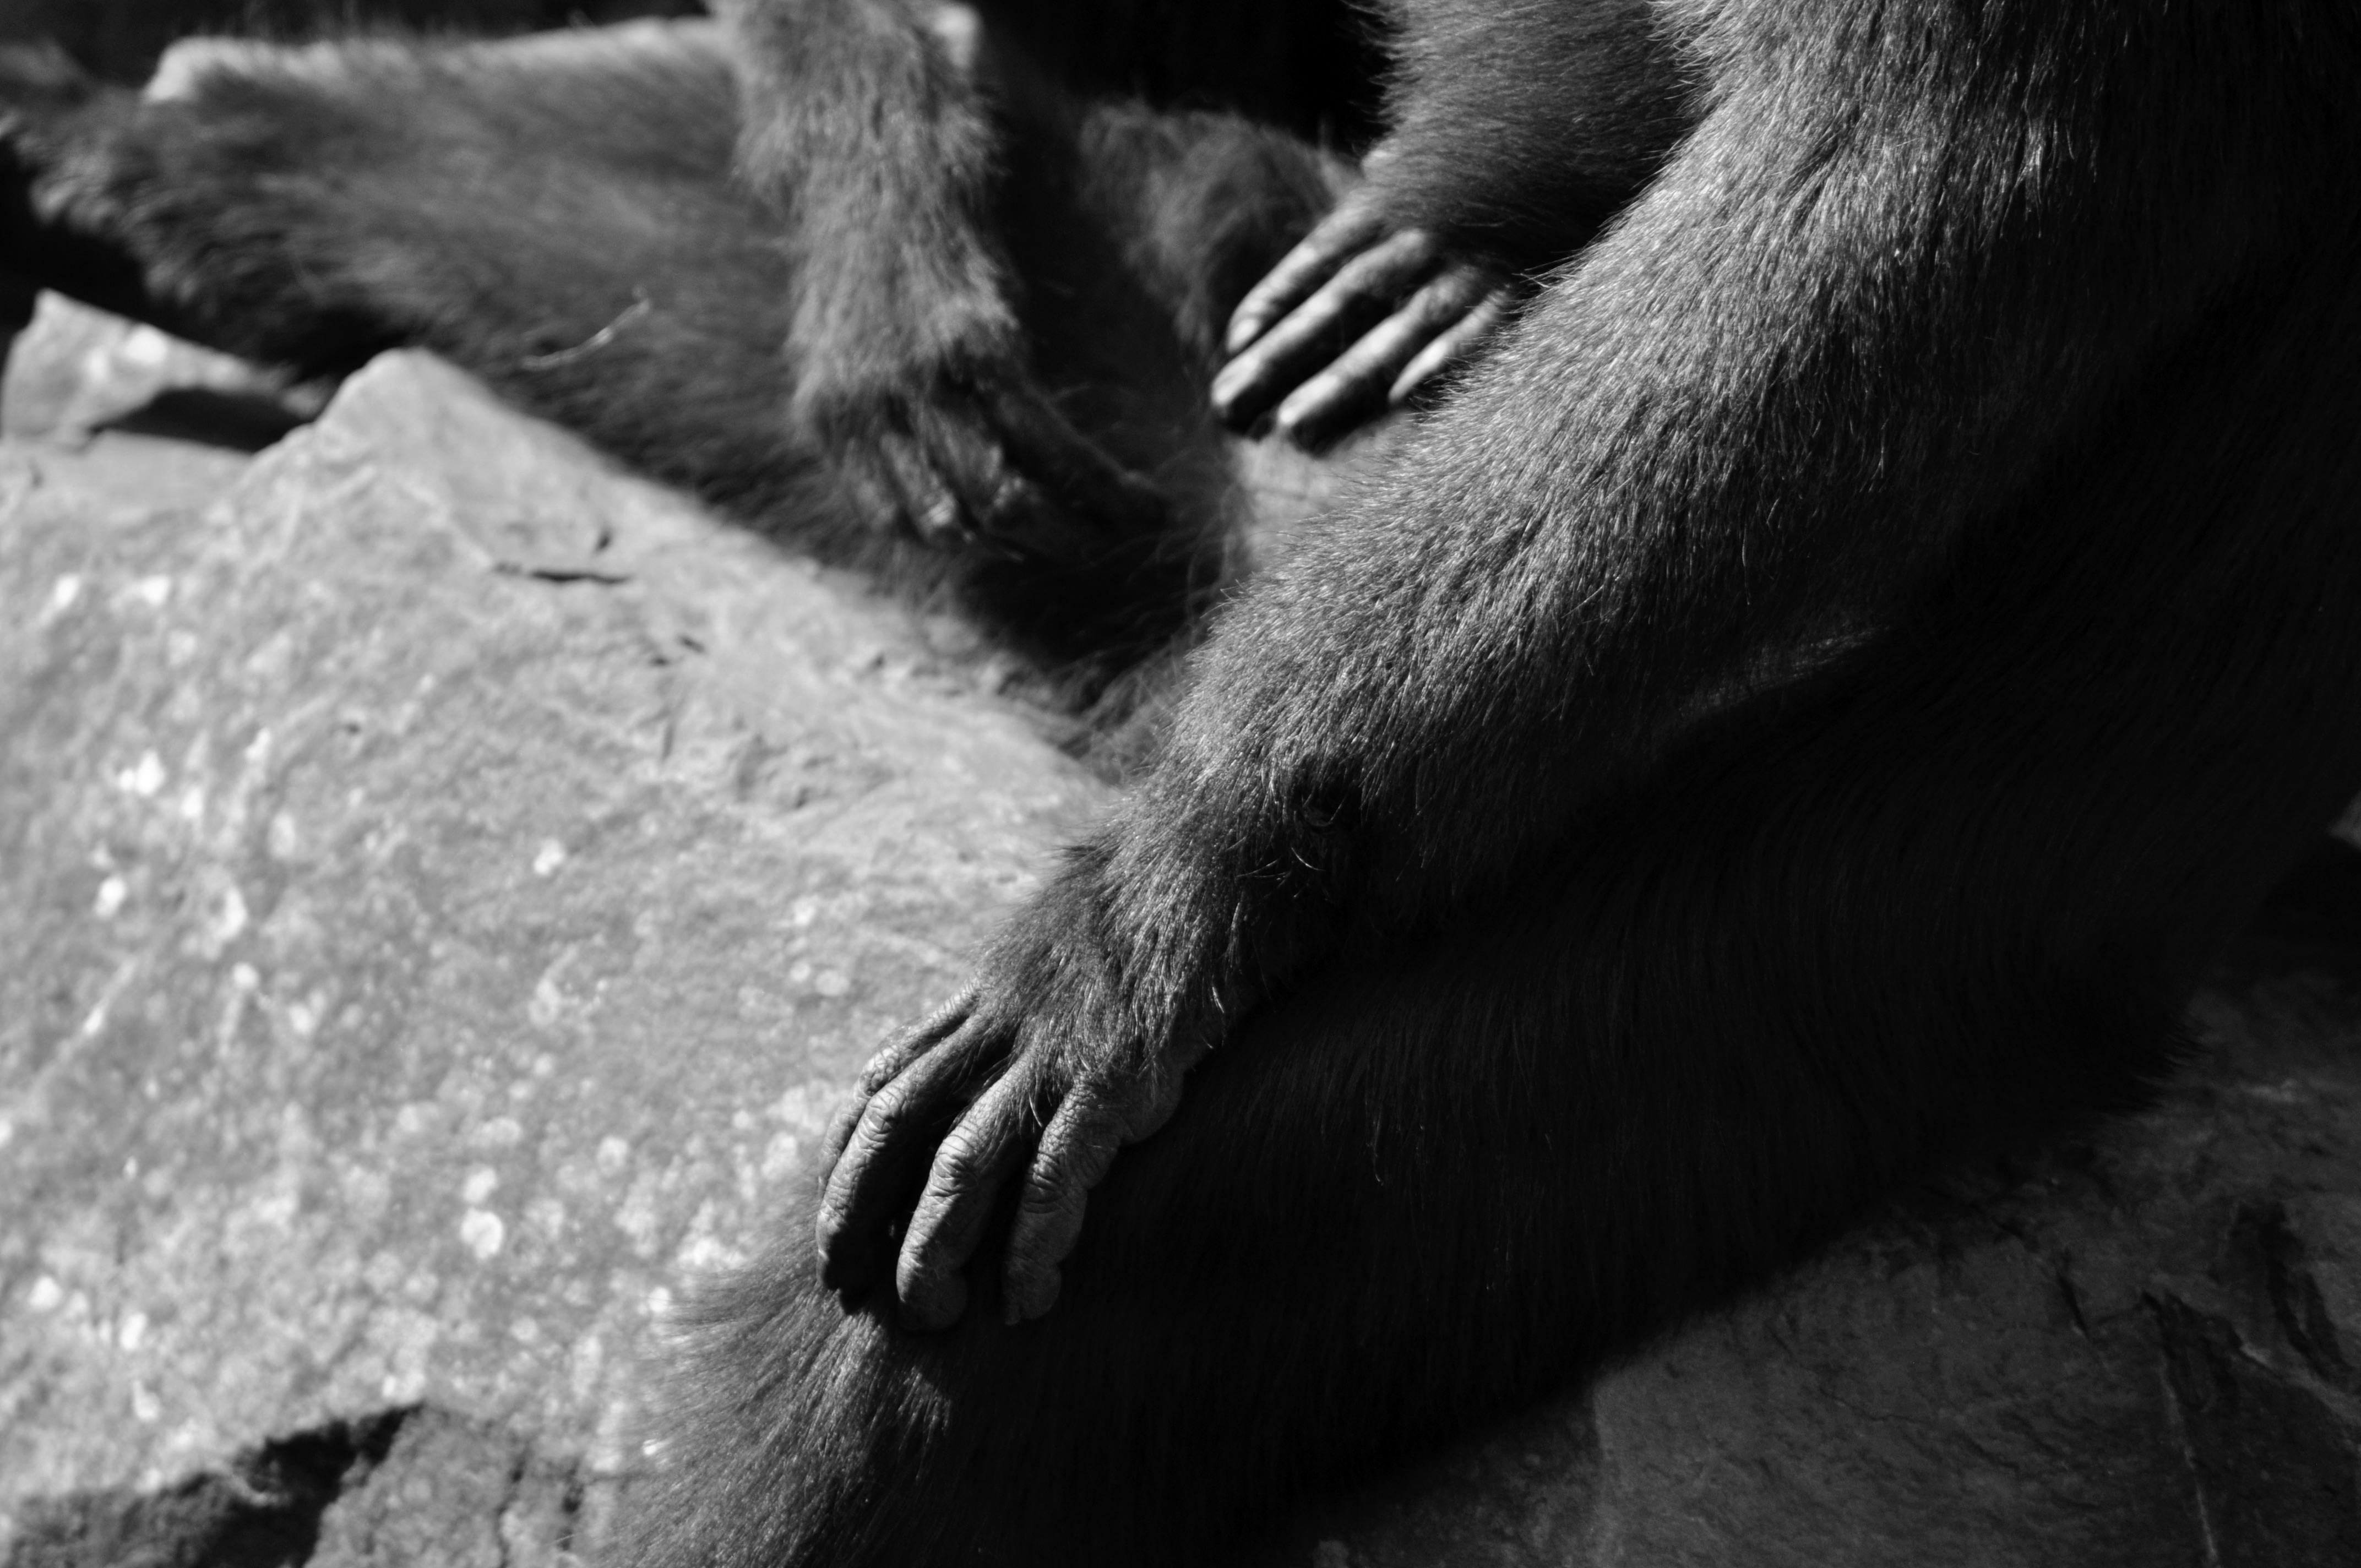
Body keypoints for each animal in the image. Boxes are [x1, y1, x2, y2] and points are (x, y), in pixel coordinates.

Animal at [4, 2, 2358, 1567]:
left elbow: (1934, 167)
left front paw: (1188, 879)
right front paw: (1445, 232)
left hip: (1892, 925)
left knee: (981, 1321)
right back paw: (129, 169)